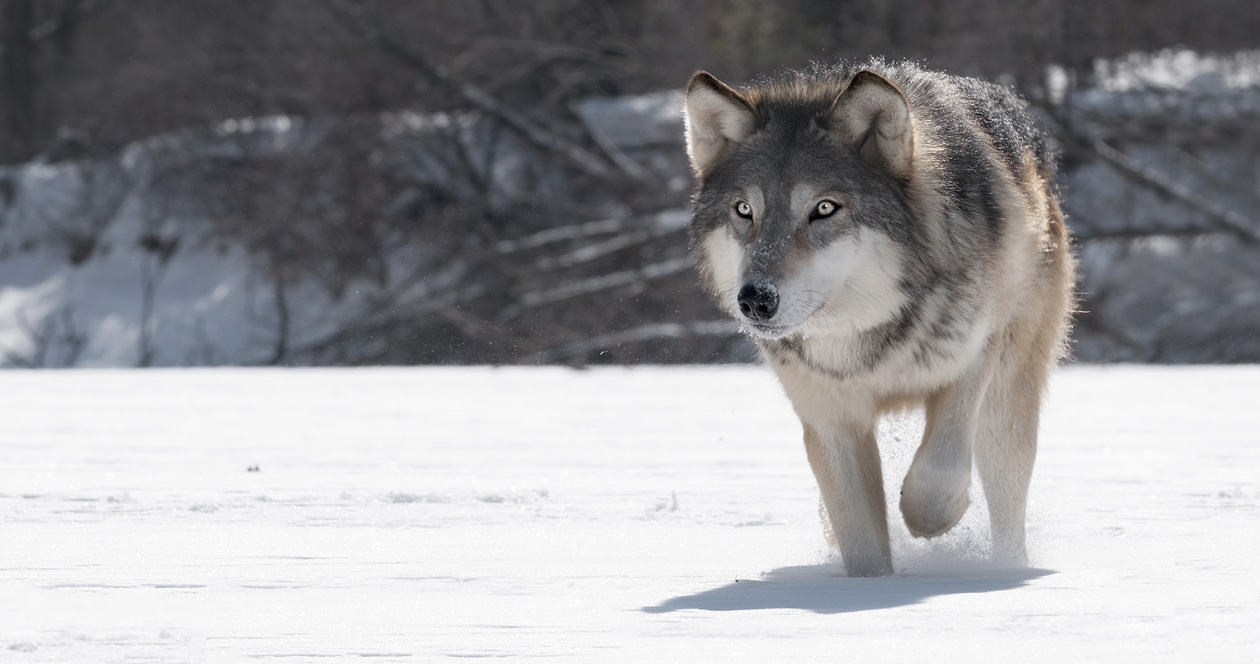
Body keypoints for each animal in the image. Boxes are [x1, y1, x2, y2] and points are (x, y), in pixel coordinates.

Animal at [683, 60, 1075, 576]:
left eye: (824, 208)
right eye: (744, 209)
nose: (755, 299)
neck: (868, 335)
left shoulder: (977, 352)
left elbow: (938, 472)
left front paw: (929, 519)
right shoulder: (831, 422)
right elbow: (861, 540)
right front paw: (872, 588)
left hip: (1007, 404)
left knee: (1006, 497)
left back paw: (1006, 567)